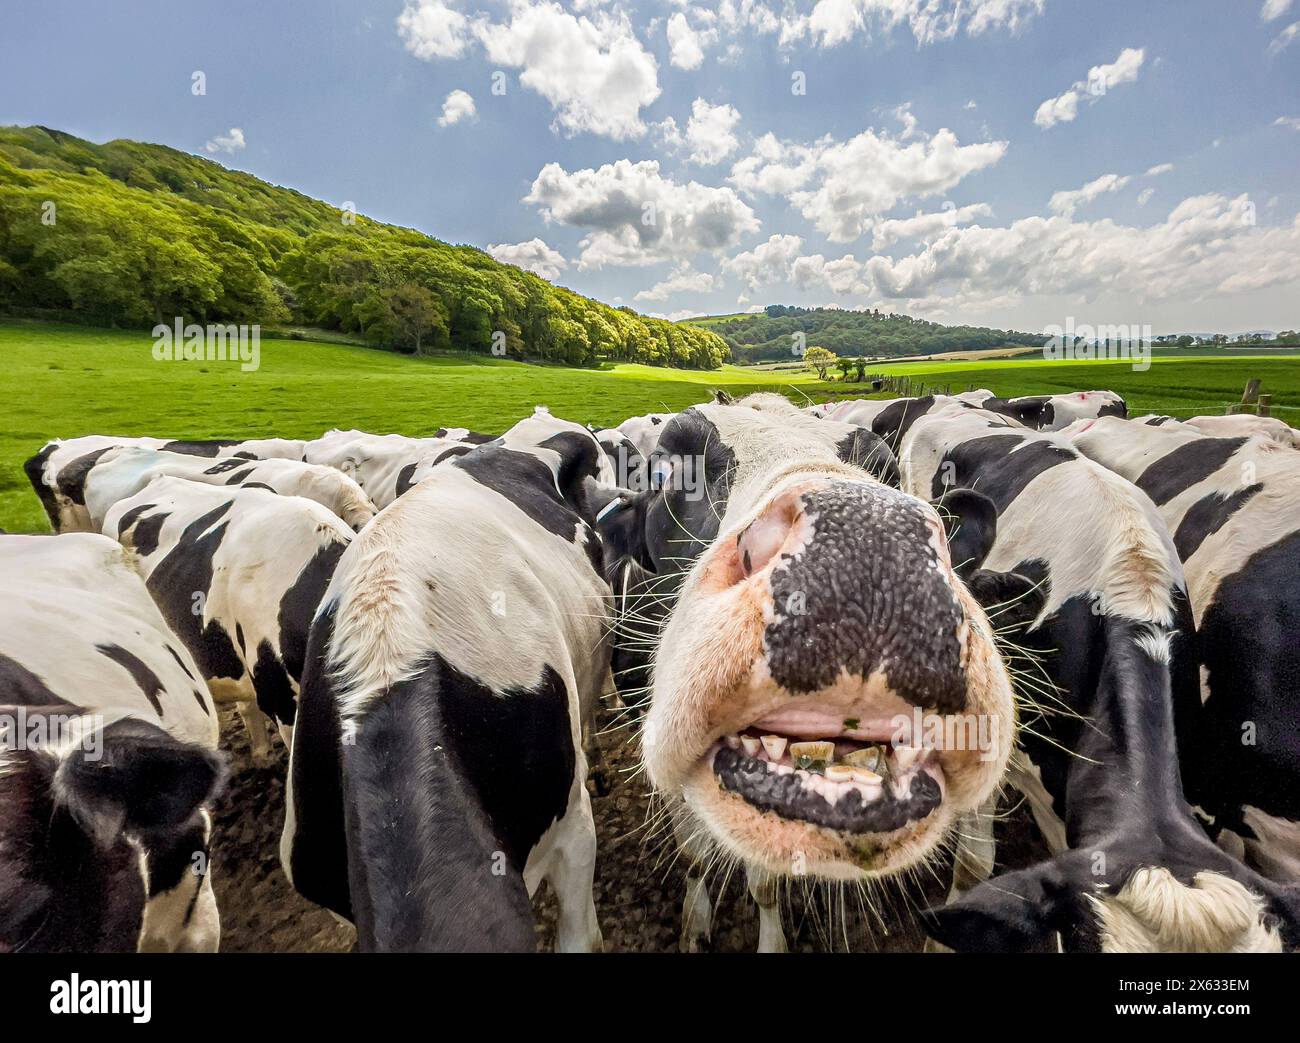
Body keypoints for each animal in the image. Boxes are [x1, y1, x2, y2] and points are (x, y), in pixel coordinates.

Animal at [595, 393, 1016, 952]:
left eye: (886, 470)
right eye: (667, 470)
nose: (869, 537)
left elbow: (765, 884)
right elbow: (694, 857)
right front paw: (694, 925)